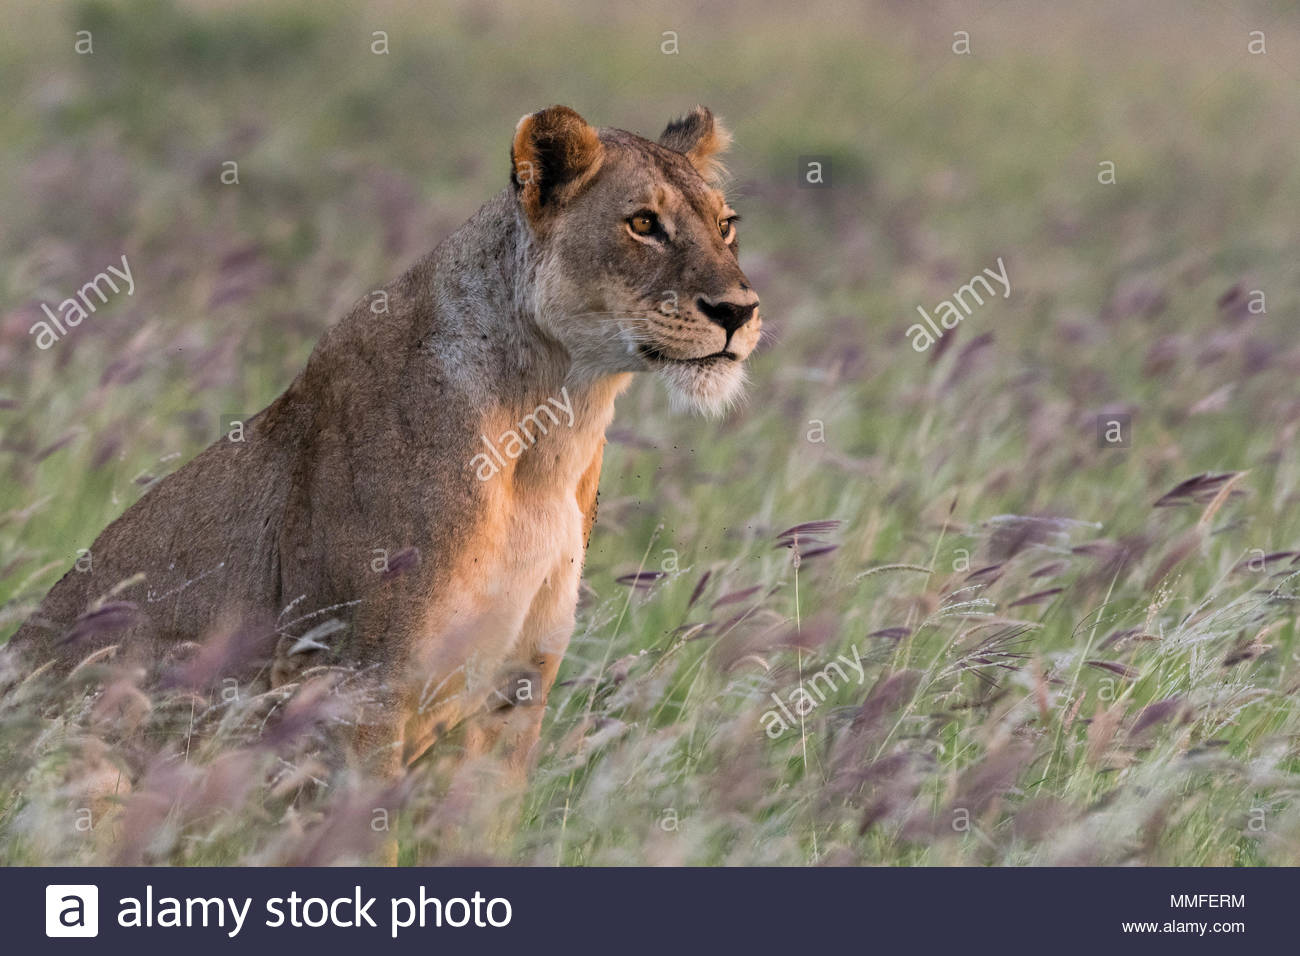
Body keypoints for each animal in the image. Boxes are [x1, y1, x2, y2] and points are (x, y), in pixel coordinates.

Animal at [3, 105, 761, 787]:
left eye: (726, 226)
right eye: (643, 224)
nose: (739, 311)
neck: (553, 428)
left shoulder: (517, 688)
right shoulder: (358, 676)